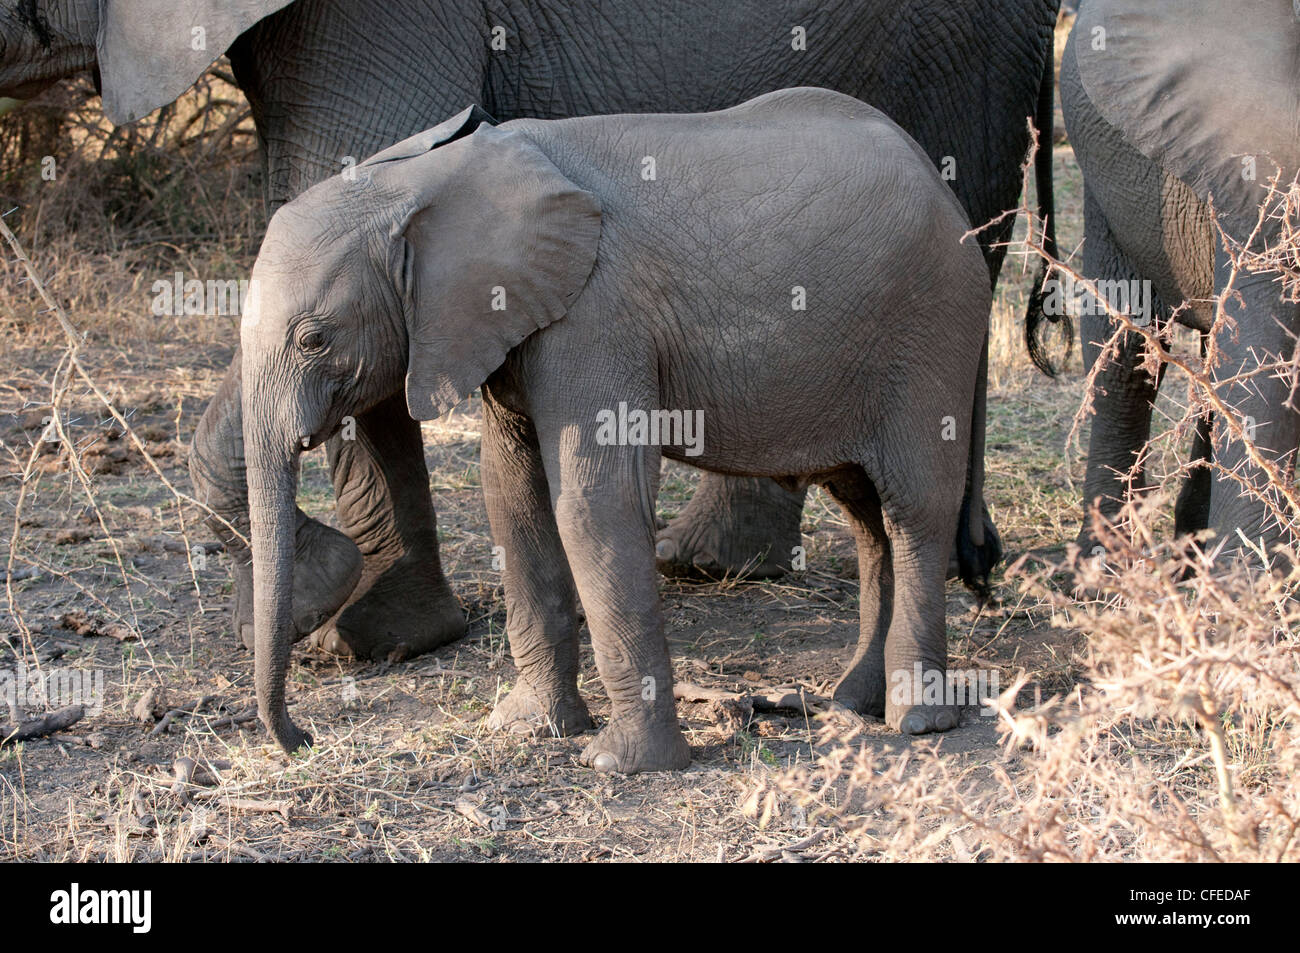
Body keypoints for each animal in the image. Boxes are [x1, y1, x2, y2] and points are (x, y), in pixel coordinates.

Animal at [238, 89, 997, 766]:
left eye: (313, 339)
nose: (304, 740)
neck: (426, 182)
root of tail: (951, 198)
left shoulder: (595, 316)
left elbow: (597, 501)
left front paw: (621, 764)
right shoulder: (512, 324)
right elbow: (511, 500)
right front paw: (529, 729)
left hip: (930, 332)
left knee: (914, 509)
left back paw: (917, 722)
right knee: (868, 517)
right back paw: (852, 703)